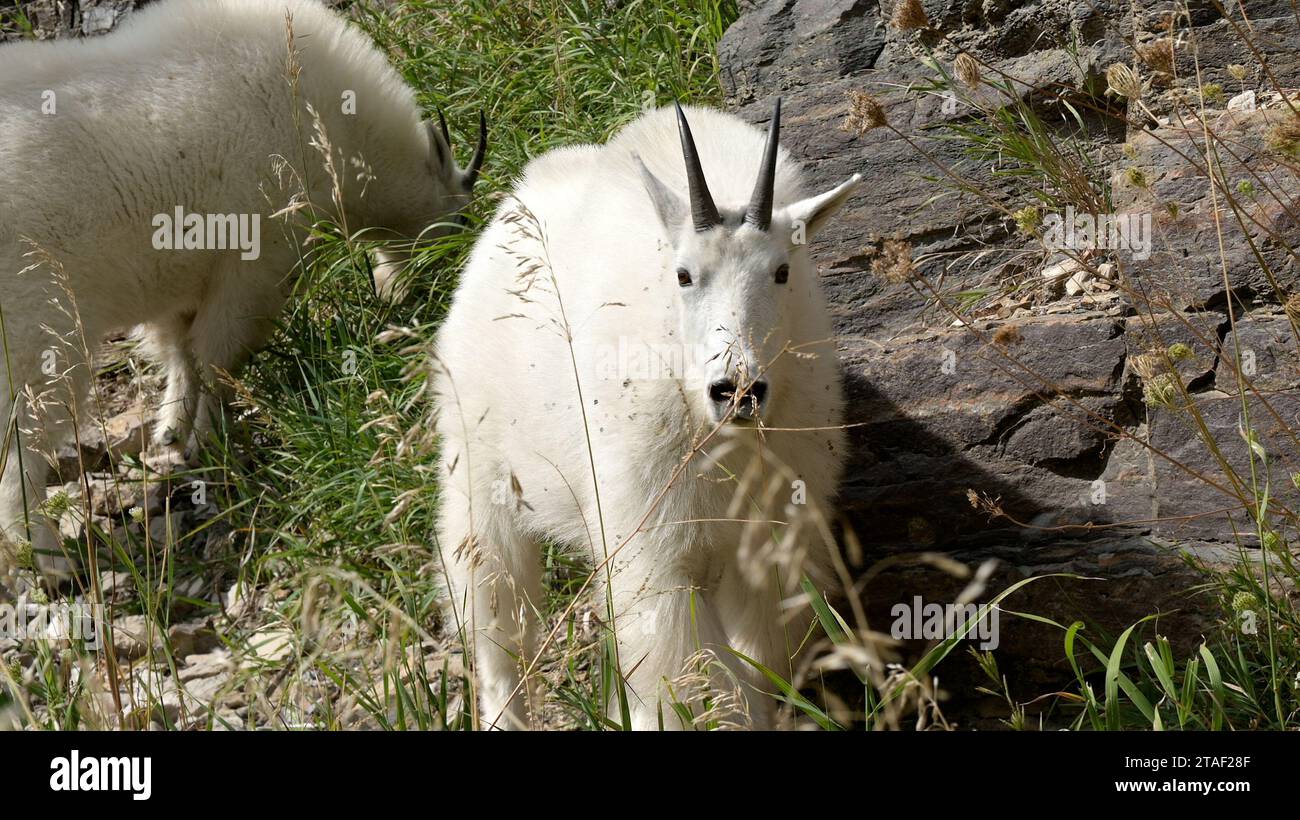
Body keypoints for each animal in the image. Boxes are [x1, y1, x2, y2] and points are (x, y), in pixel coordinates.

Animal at [0, 0, 485, 583]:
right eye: (459, 222)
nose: (411, 301)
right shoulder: (255, 263)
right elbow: (217, 356)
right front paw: (208, 439)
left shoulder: (184, 283)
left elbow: (181, 354)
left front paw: (172, 431)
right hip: (36, 331)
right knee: (21, 449)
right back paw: (49, 560)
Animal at [430, 100, 860, 729]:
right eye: (683, 274)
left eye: (782, 271)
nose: (737, 391)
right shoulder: (656, 554)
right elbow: (680, 675)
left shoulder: (769, 545)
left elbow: (756, 671)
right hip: (480, 477)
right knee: (495, 623)